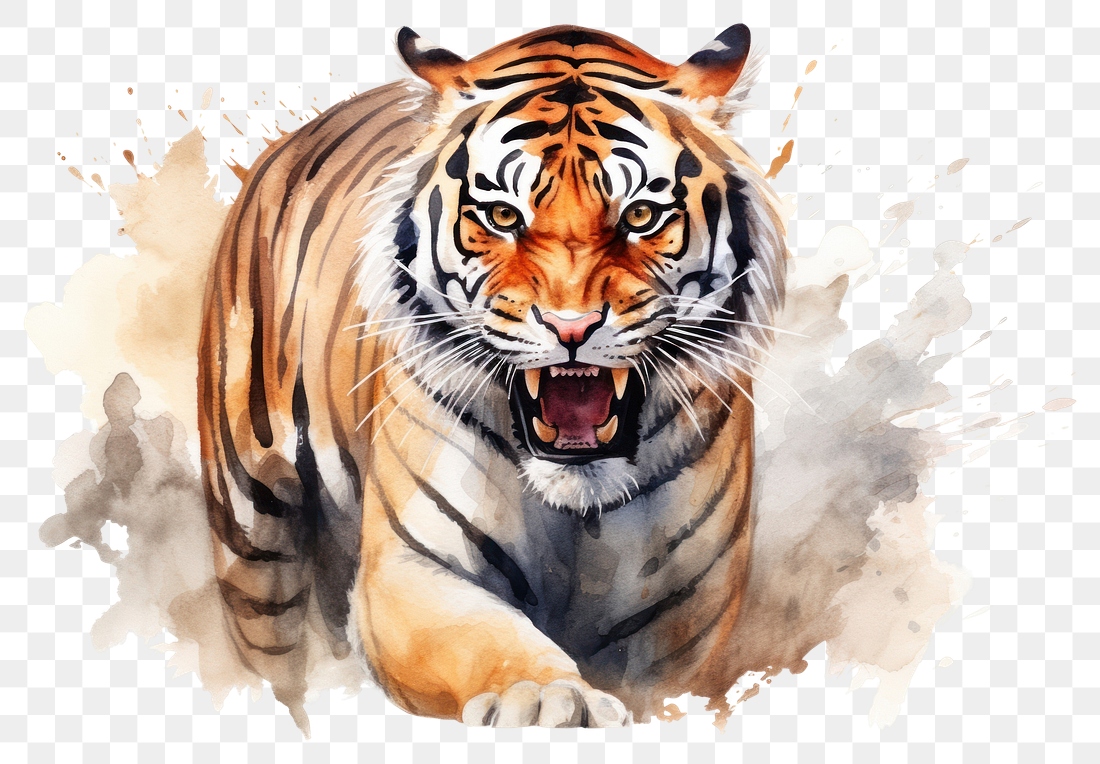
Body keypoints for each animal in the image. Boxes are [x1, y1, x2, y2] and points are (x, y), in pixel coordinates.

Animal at [198, 24, 787, 728]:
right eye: (503, 217)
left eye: (640, 216)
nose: (570, 326)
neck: (579, 509)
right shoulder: (410, 568)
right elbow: (485, 638)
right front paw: (544, 698)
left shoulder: (680, 625)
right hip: (252, 537)